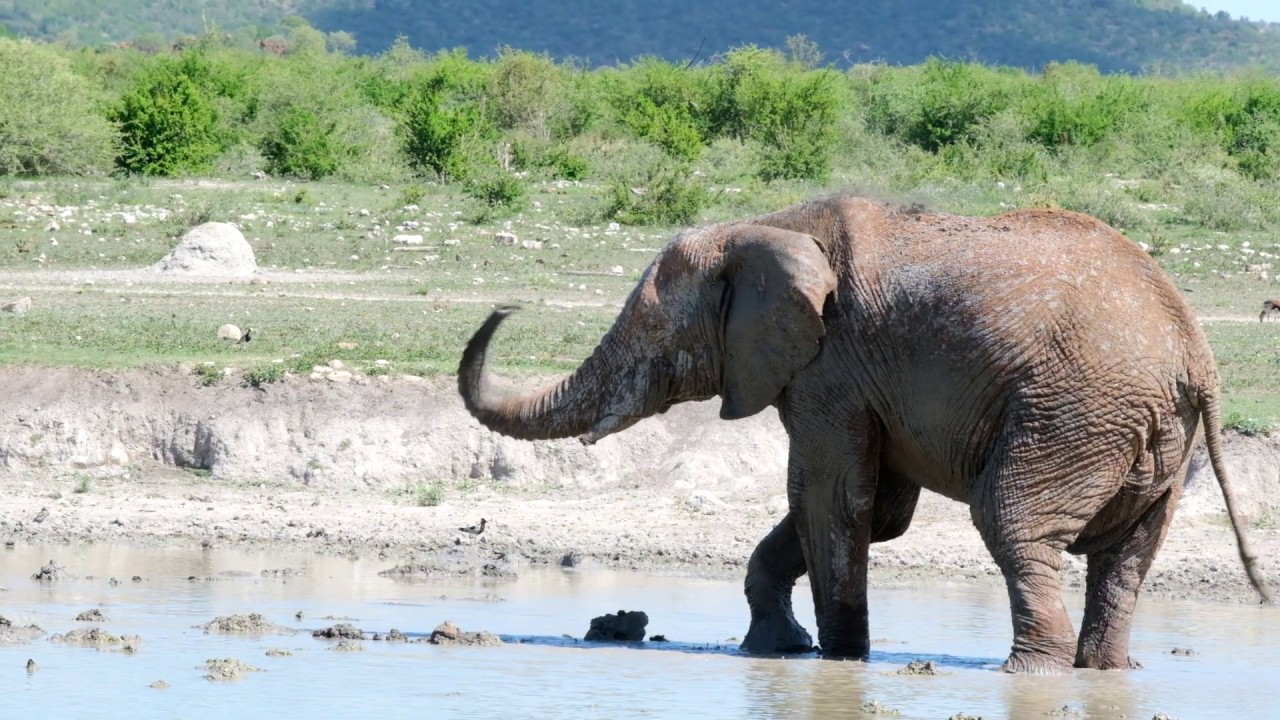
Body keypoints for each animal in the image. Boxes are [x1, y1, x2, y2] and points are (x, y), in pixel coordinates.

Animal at [457, 193, 1270, 673]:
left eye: (655, 334)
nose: (504, 308)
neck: (764, 228)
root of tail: (1195, 354)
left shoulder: (832, 366)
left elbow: (832, 499)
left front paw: (840, 663)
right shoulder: (860, 377)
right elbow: (870, 511)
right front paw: (780, 649)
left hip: (1075, 411)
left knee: (1014, 523)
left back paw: (1027, 675)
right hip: (1150, 433)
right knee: (1126, 557)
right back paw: (1102, 675)